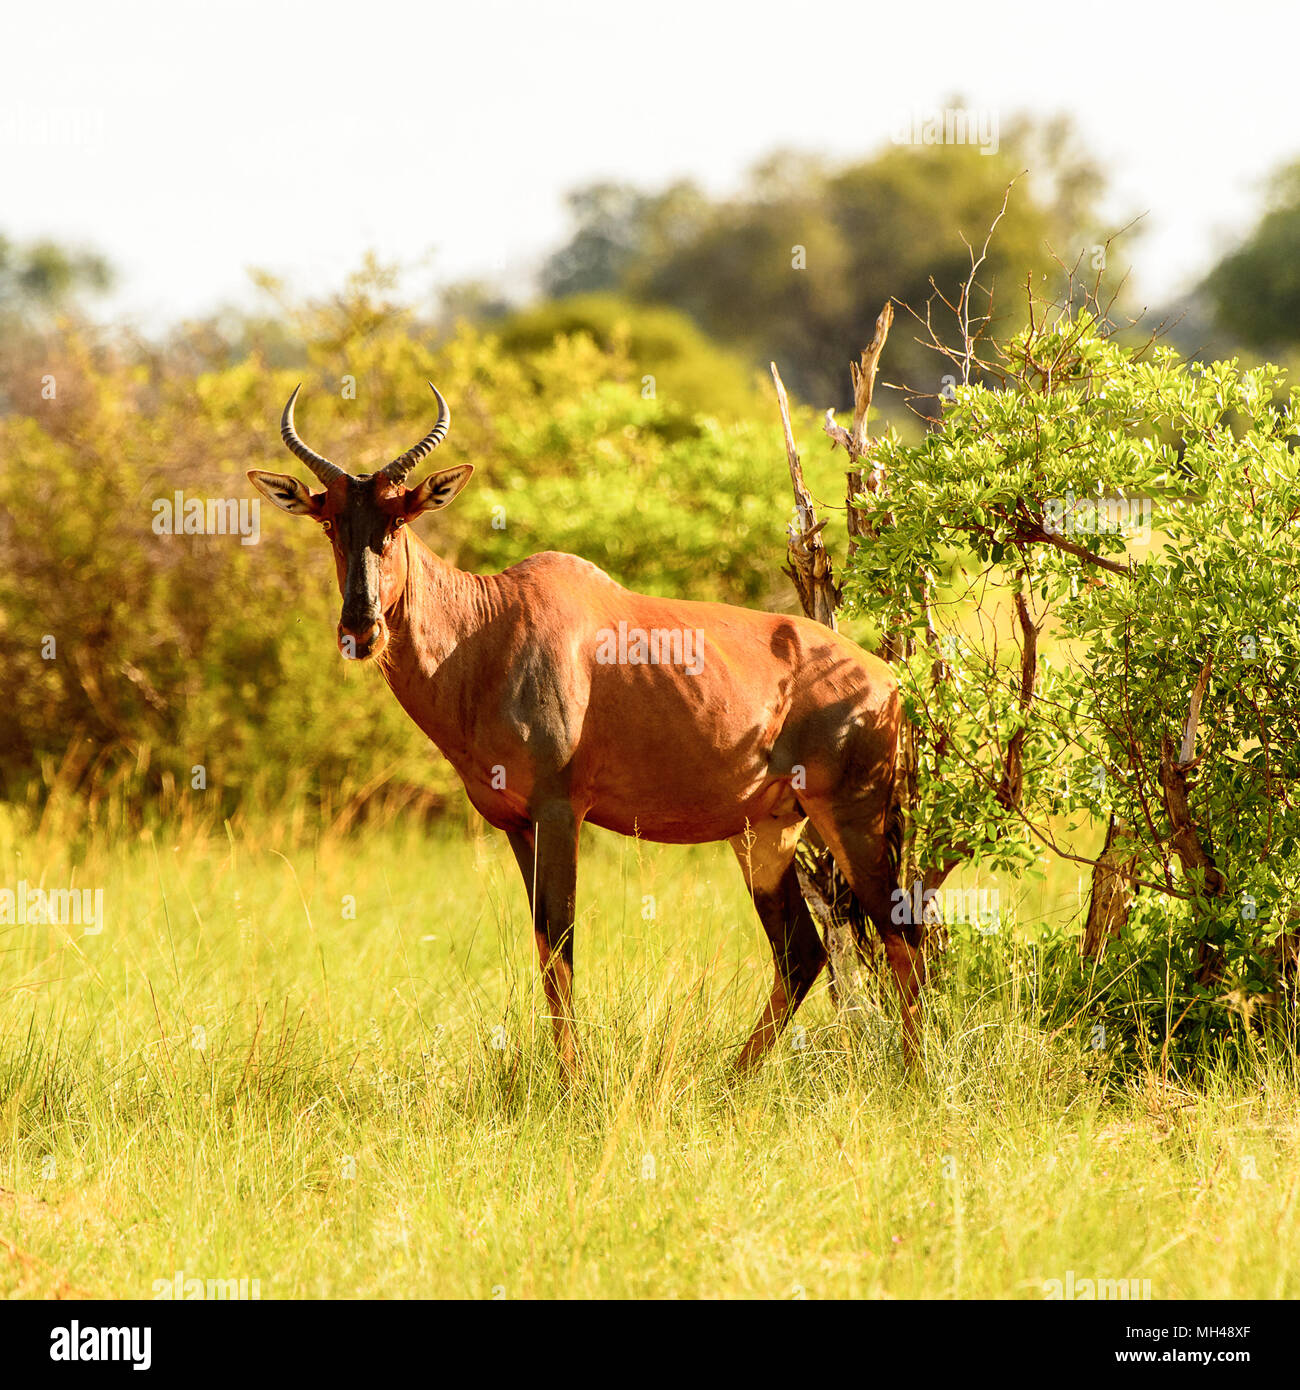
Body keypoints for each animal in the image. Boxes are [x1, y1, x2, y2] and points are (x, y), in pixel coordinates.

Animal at [249, 384, 924, 1077]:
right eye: (330, 521)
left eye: (397, 521)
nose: (360, 630)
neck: (489, 624)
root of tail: (889, 681)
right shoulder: (515, 823)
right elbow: (545, 944)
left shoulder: (559, 810)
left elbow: (564, 937)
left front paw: (573, 1082)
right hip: (766, 828)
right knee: (800, 951)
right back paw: (731, 1081)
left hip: (853, 815)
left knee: (901, 932)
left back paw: (914, 1074)